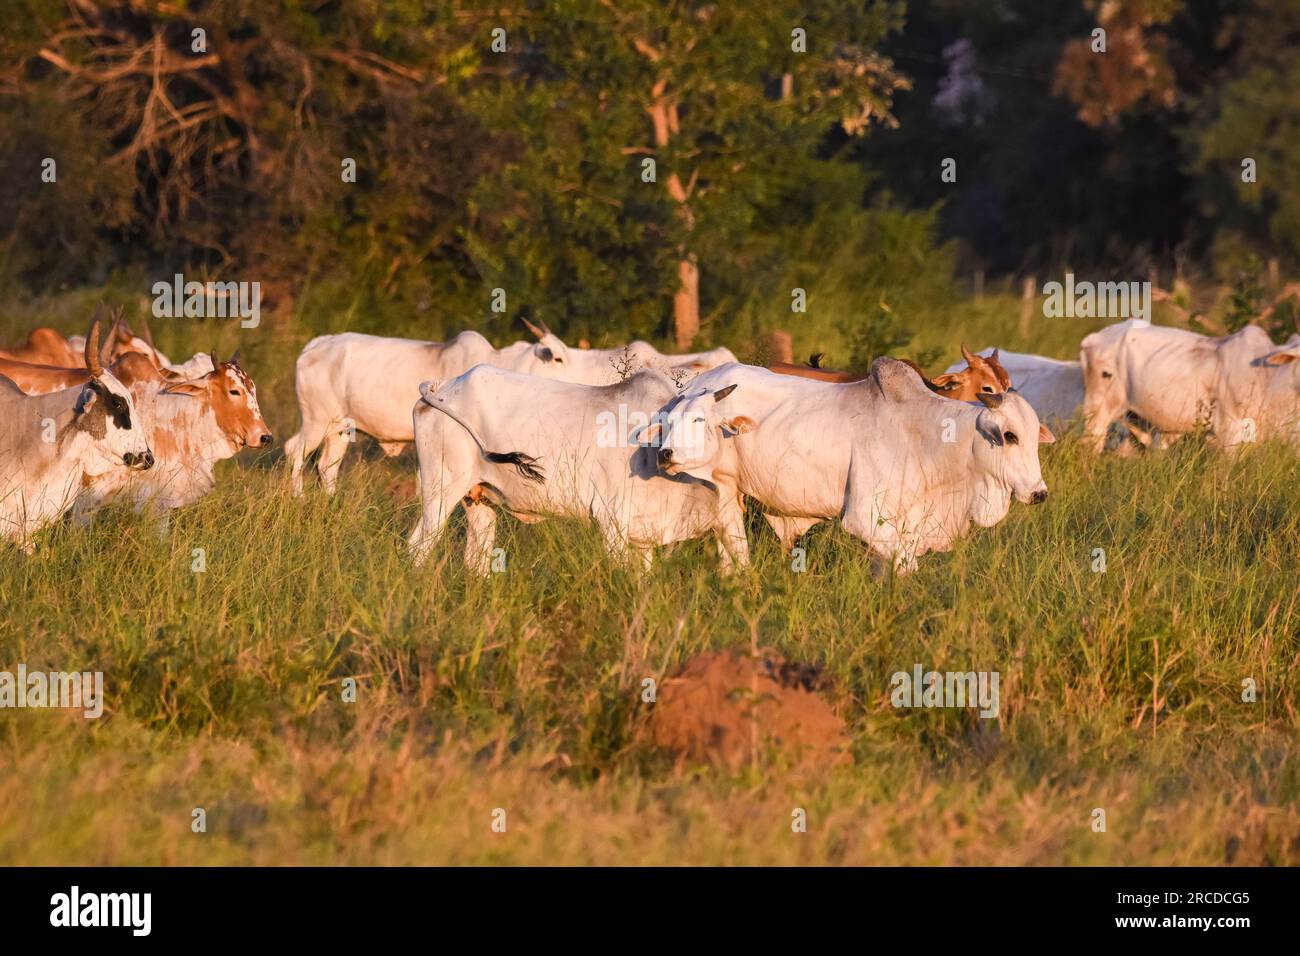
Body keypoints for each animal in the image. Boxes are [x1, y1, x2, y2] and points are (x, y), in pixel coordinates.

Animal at [406, 367, 740, 573]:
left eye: (702, 420)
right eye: (670, 422)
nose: (666, 454)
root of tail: (442, 387)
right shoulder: (611, 522)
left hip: (479, 500)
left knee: (476, 560)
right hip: (440, 492)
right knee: (418, 547)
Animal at [644, 359, 1054, 573]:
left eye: (1033, 437)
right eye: (1010, 436)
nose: (1039, 493)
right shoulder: (863, 518)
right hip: (724, 489)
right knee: (737, 549)